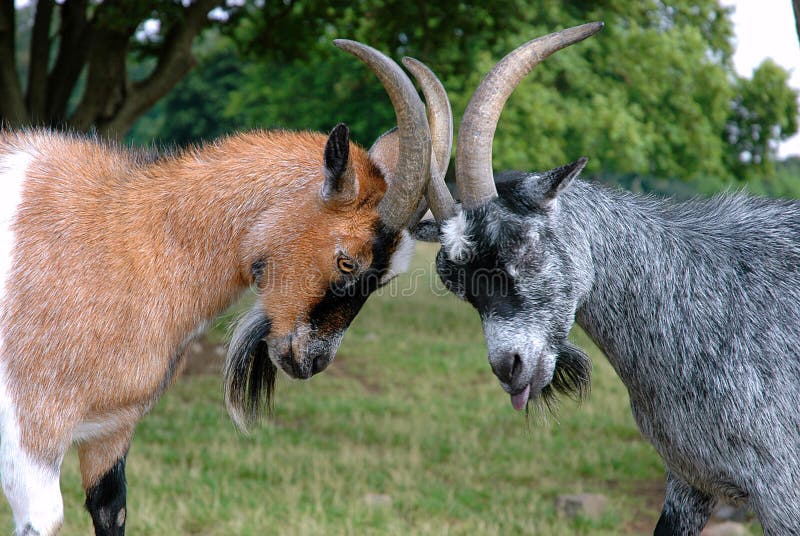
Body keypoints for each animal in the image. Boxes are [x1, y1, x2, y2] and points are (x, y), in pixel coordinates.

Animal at [0, 40, 450, 536]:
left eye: (387, 277)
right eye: (347, 260)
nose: (311, 361)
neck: (129, 233)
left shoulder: (109, 432)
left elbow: (111, 508)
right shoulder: (30, 438)